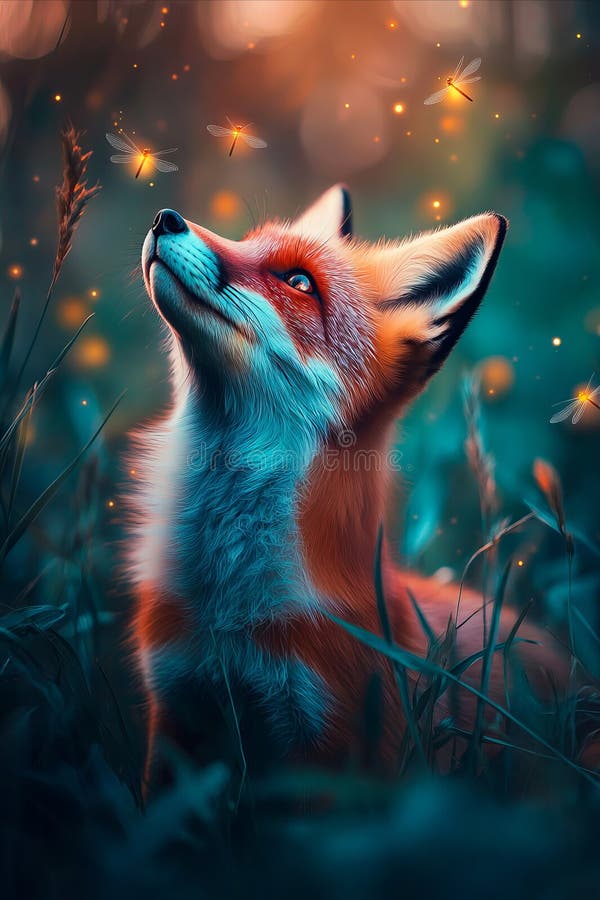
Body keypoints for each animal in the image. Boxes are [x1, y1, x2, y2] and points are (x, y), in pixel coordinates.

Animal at [129, 186, 566, 784]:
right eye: (245, 240)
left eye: (298, 282)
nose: (164, 218)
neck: (227, 610)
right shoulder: (175, 711)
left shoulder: (332, 750)